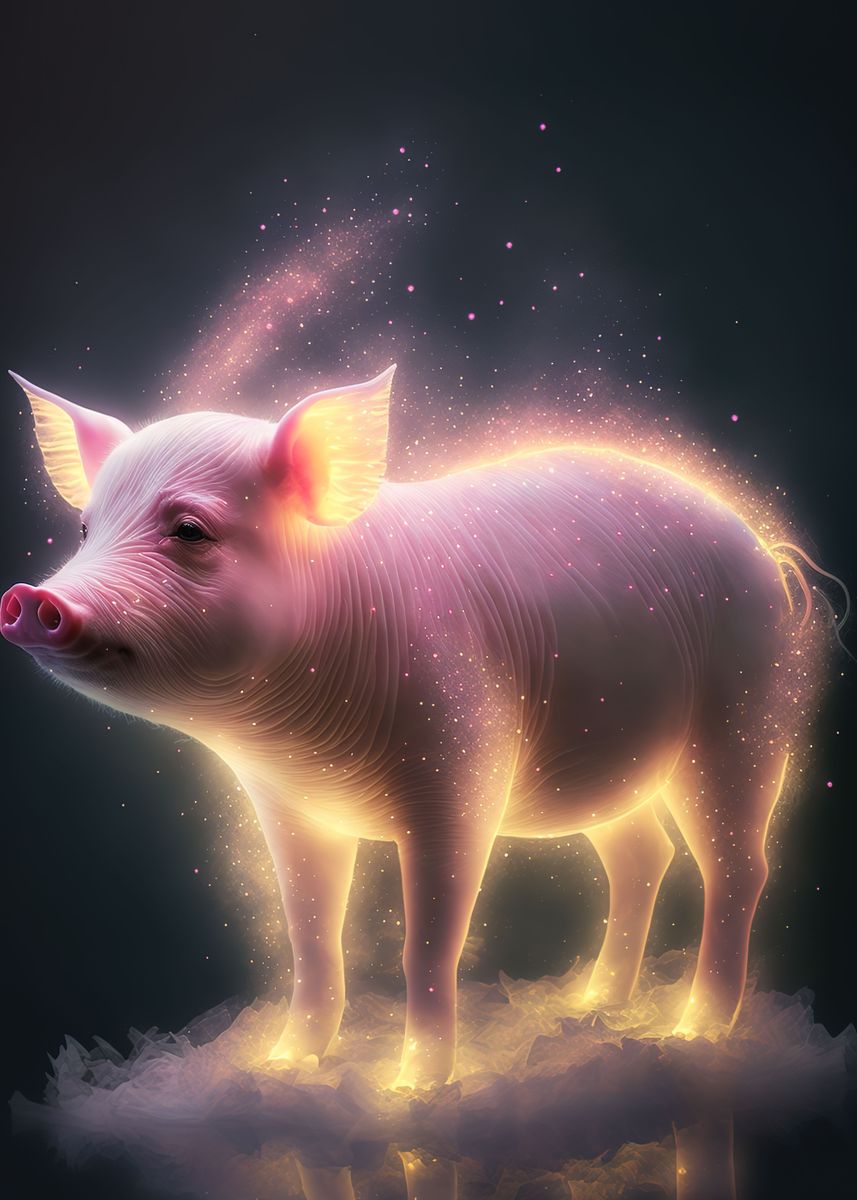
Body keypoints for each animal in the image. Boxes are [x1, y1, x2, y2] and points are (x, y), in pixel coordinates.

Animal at [1, 366, 817, 1089]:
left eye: (190, 530)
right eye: (86, 527)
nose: (28, 598)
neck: (292, 738)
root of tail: (771, 557)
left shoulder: (460, 768)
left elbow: (427, 947)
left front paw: (412, 1091)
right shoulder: (289, 805)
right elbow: (311, 939)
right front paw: (282, 1067)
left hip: (742, 717)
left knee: (738, 866)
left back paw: (692, 1033)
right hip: (610, 765)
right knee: (643, 854)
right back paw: (587, 1008)